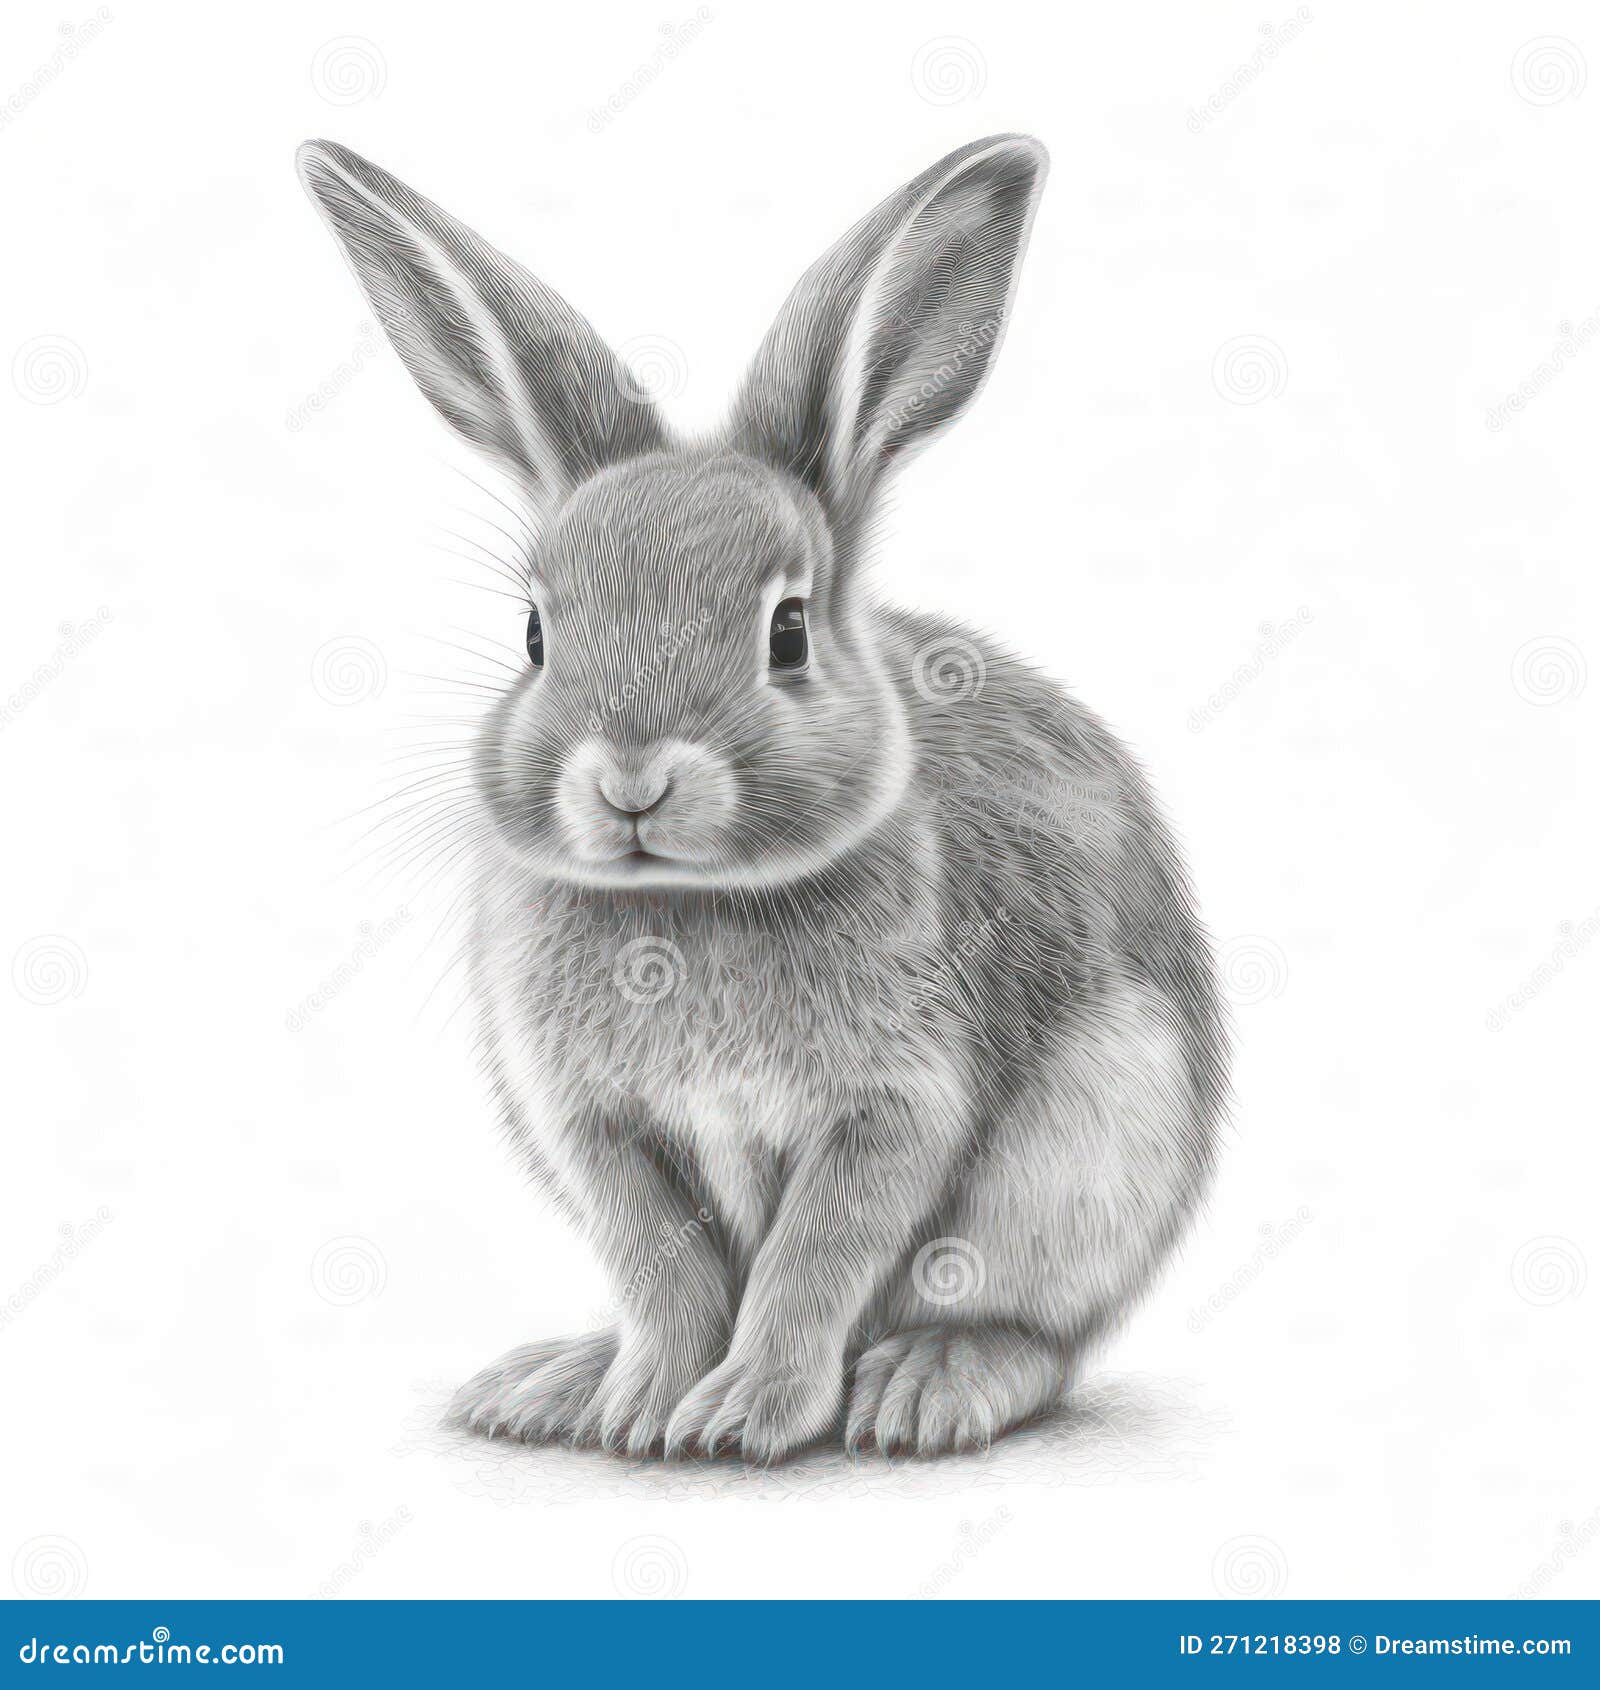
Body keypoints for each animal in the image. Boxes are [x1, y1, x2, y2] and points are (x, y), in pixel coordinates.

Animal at [297, 133, 1228, 1463]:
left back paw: (929, 1384)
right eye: (535, 633)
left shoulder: (890, 1110)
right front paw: (645, 1403)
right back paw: (557, 1381)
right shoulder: (596, 1128)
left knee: (1038, 1334)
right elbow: (661, 1265)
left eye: (786, 631)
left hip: (1093, 1149)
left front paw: (739, 1417)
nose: (631, 777)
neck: (686, 904)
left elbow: (812, 1259)